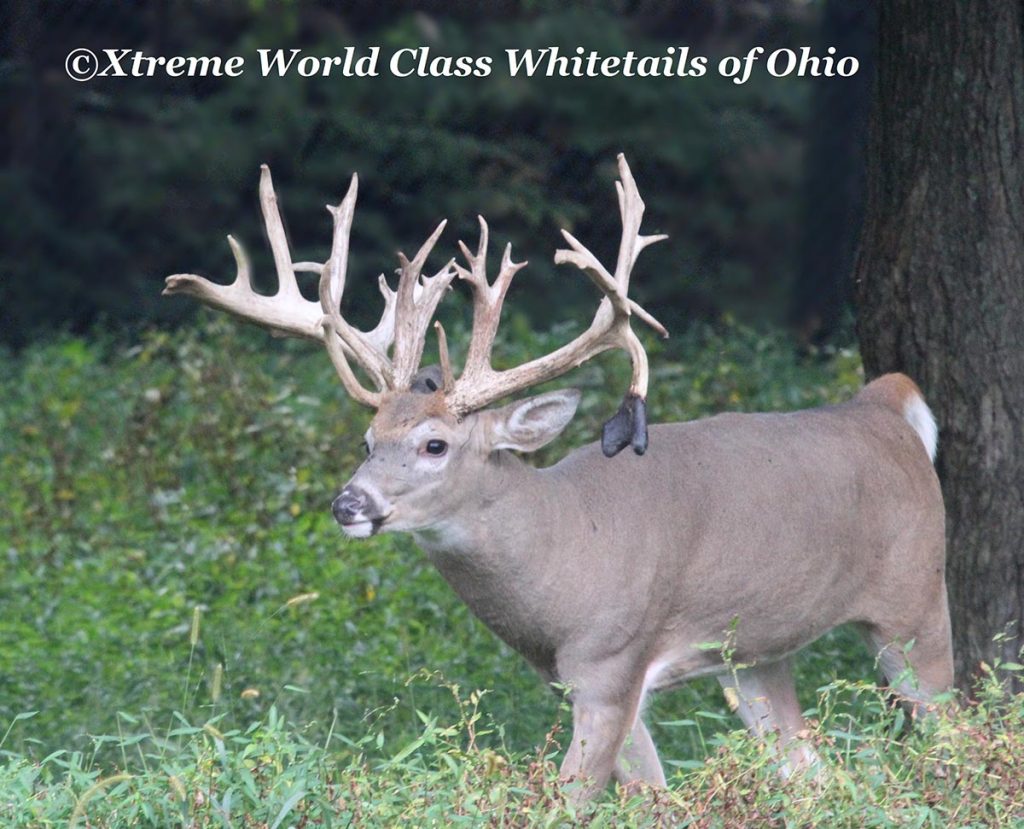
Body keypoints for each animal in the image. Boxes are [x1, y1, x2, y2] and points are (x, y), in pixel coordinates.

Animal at [164, 155, 953, 802]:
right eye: (366, 440)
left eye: (434, 444)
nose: (348, 503)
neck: (563, 552)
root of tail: (888, 403)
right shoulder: (579, 678)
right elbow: (653, 798)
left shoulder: (612, 662)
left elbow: (571, 801)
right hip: (755, 655)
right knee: (816, 771)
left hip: (915, 599)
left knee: (953, 732)